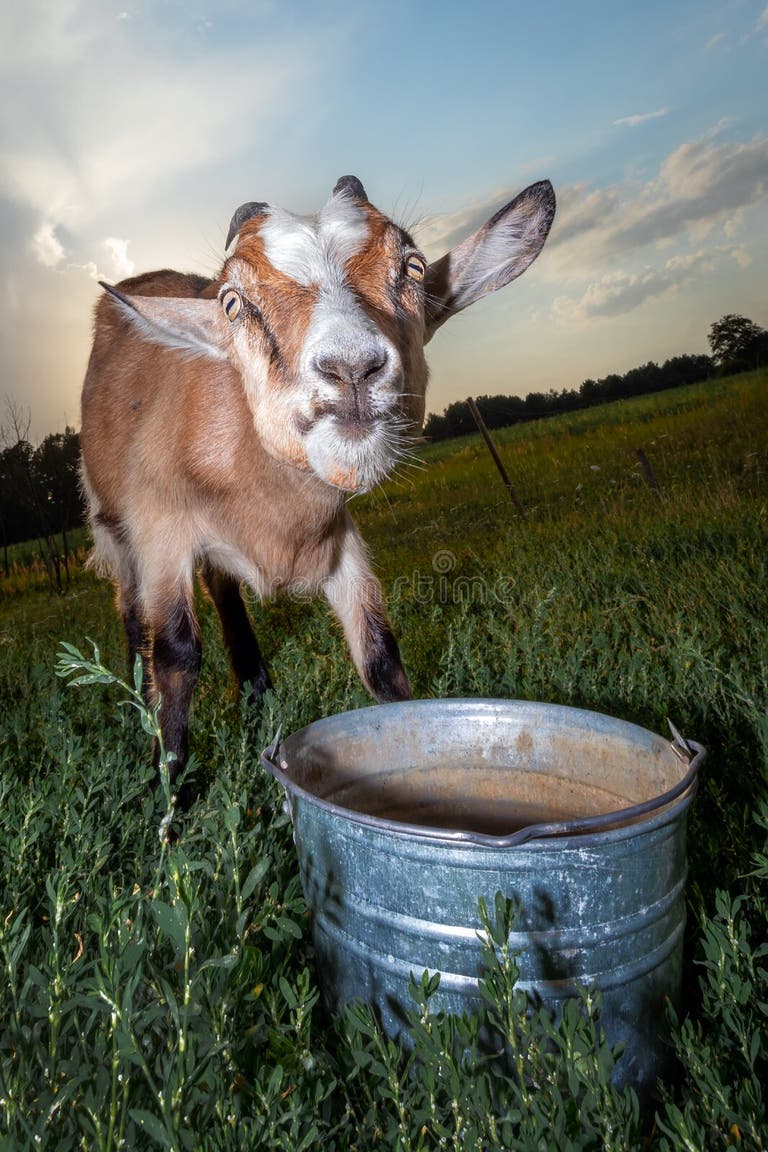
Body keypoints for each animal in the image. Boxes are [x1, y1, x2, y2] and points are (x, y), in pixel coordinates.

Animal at [80, 175, 555, 799]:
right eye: (232, 302)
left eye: (413, 266)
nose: (352, 369)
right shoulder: (161, 532)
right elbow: (177, 653)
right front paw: (167, 797)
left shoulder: (339, 539)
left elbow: (378, 647)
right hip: (114, 529)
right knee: (135, 617)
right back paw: (142, 710)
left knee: (222, 588)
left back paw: (257, 695)